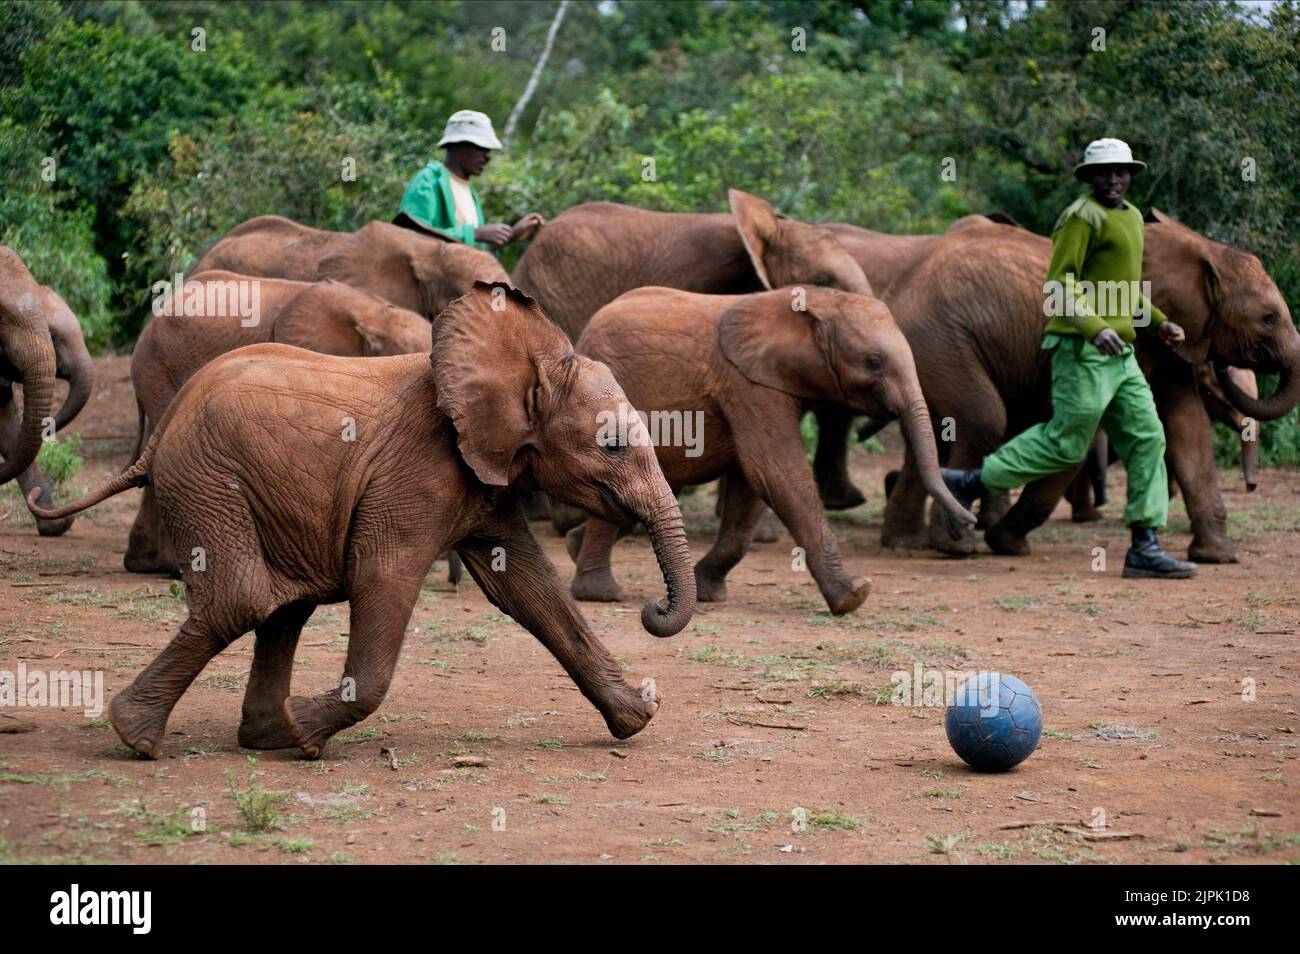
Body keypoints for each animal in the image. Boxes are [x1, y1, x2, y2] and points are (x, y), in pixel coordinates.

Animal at [565, 286, 975, 616]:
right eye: (873, 362)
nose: (967, 524)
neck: (812, 304)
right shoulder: (750, 386)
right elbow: (776, 473)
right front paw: (853, 597)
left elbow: (750, 486)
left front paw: (708, 593)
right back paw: (600, 594)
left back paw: (573, 548)